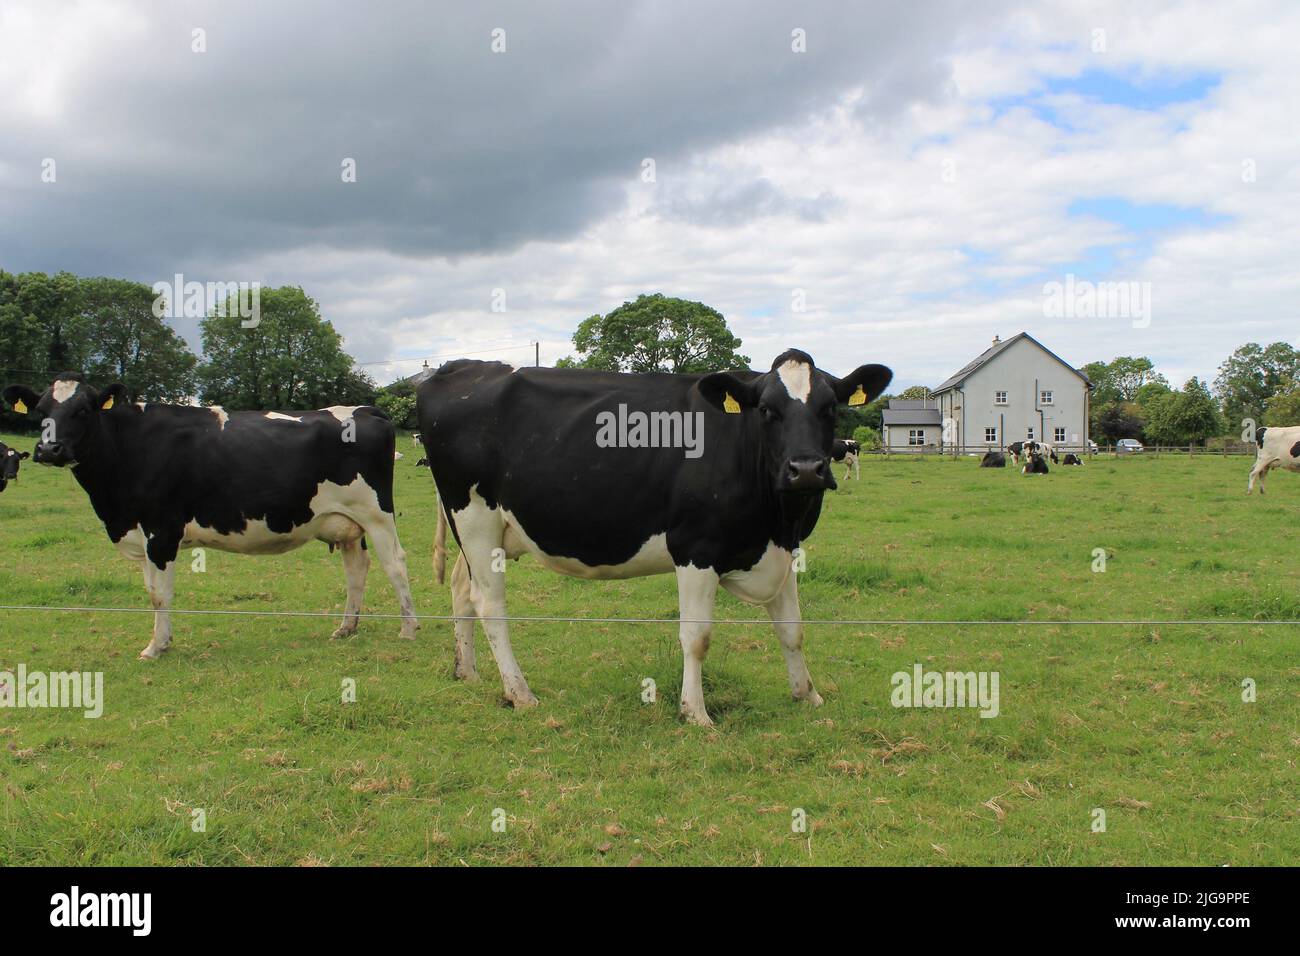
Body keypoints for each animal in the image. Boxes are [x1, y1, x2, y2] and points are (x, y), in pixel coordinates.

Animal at [3, 374, 419, 660]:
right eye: (41, 411)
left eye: (83, 410)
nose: (49, 449)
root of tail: (366, 409)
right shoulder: (142, 534)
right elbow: (151, 591)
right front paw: (162, 641)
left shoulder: (161, 532)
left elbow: (160, 594)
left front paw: (156, 646)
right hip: (346, 523)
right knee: (357, 569)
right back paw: (346, 628)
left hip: (375, 514)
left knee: (395, 563)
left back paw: (409, 627)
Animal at [417, 349, 892, 726]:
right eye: (766, 410)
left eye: (830, 408)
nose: (806, 468)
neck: (777, 521)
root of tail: (460, 367)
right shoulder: (696, 550)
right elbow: (696, 637)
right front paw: (695, 713)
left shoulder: (782, 551)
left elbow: (793, 630)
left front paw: (808, 695)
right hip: (474, 516)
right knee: (489, 604)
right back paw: (520, 694)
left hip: (489, 530)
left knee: (462, 589)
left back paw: (468, 672)